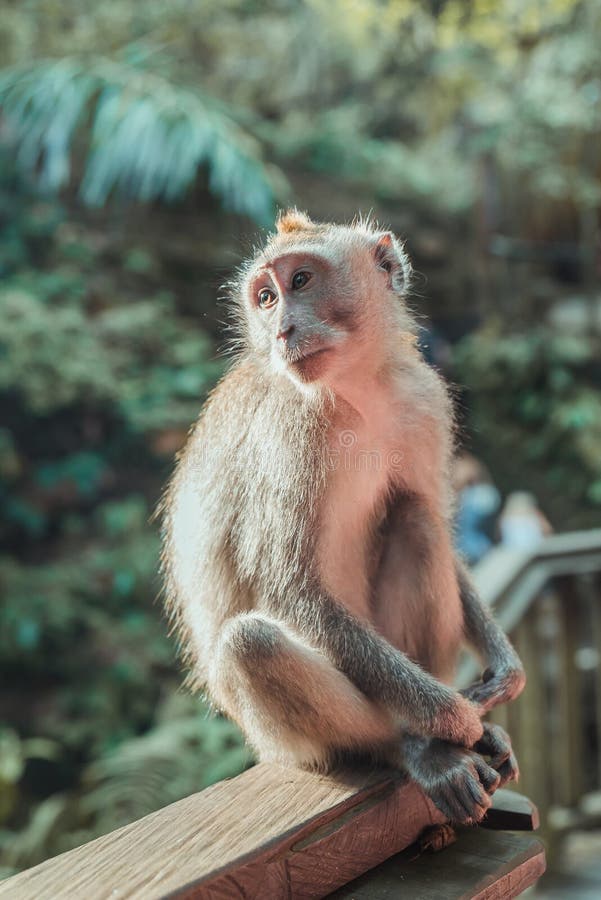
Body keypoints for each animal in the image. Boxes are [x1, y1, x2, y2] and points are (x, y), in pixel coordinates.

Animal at [158, 210, 526, 825]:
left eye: (301, 281)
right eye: (265, 297)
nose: (281, 330)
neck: (358, 391)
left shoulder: (423, 402)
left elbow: (435, 519)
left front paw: (504, 668)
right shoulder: (290, 431)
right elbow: (289, 586)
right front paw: (455, 717)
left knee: (415, 517)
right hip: (284, 739)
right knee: (252, 644)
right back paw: (414, 745)